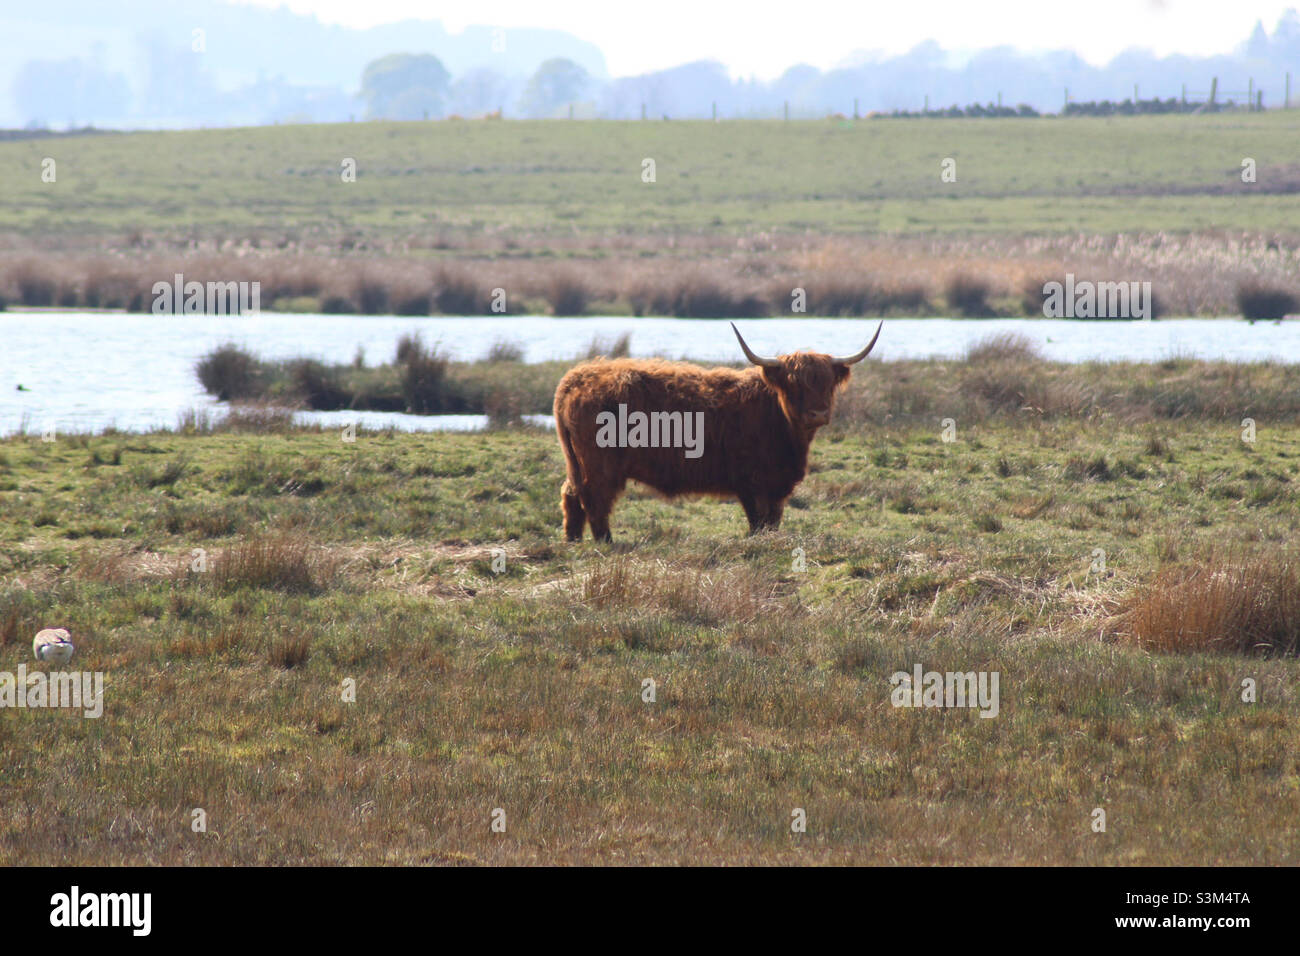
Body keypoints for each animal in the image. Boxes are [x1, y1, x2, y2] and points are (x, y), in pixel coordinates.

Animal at [553, 321, 882, 541]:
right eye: (794, 383)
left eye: (827, 383)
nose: (817, 413)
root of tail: (577, 376)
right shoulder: (751, 482)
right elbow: (758, 520)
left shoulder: (777, 484)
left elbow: (773, 519)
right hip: (600, 464)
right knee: (595, 498)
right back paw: (606, 542)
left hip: (576, 461)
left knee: (571, 493)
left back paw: (573, 539)